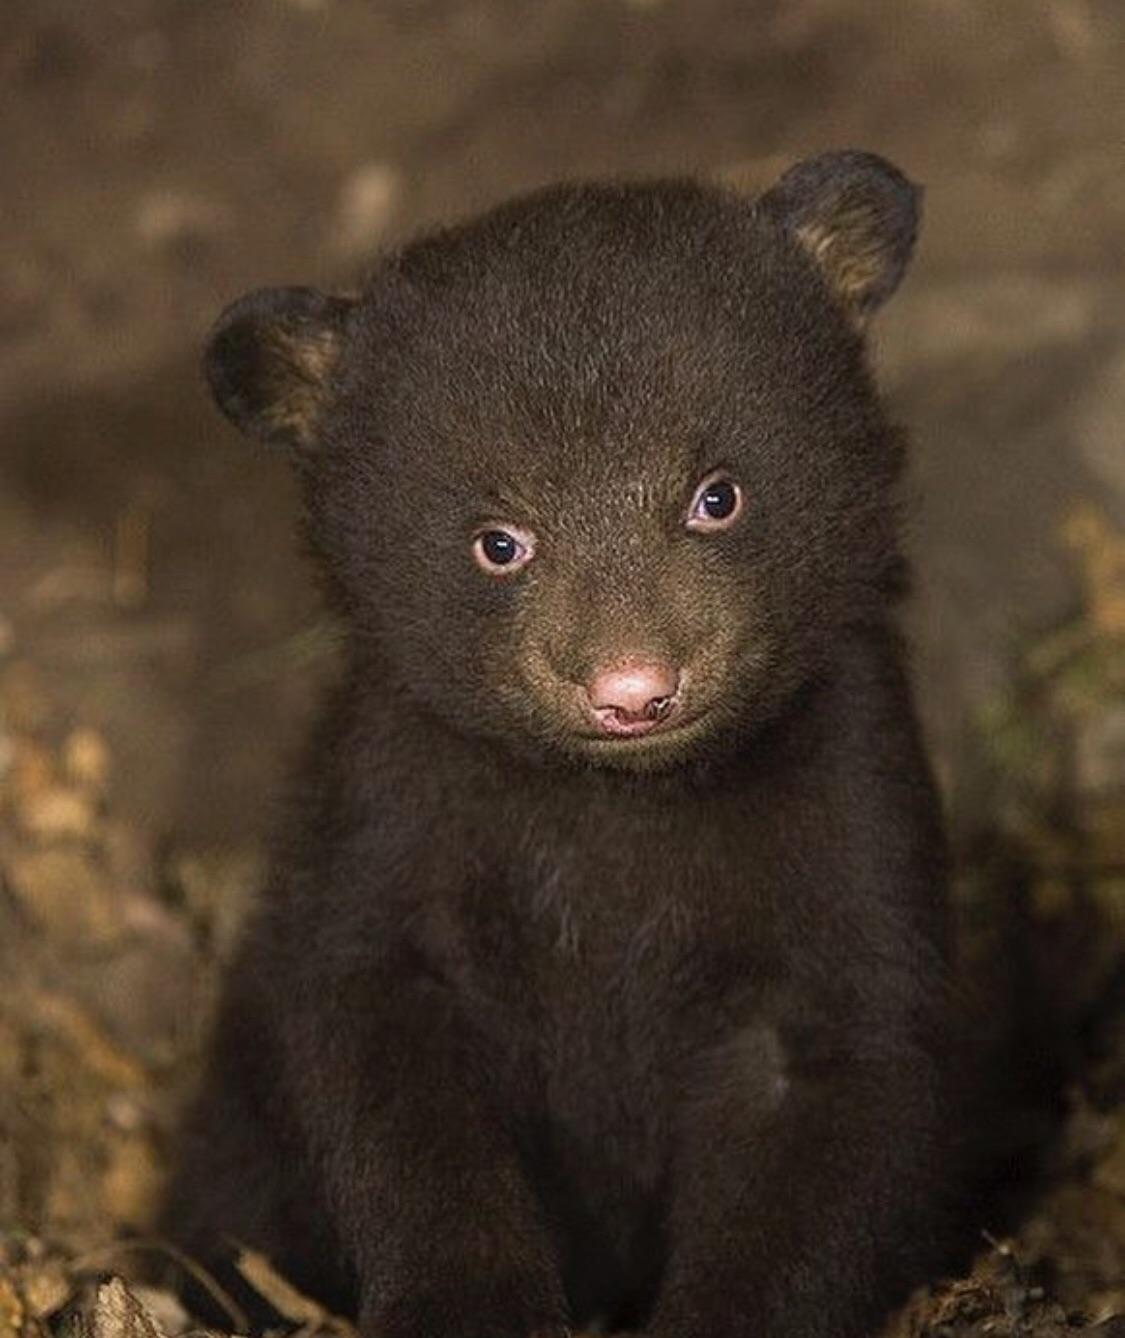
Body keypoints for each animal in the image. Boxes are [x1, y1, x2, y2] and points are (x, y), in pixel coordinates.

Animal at [163, 150, 957, 1338]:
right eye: (499, 542)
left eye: (717, 495)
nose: (632, 689)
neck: (617, 804)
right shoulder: (388, 821)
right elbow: (391, 1080)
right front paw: (465, 1305)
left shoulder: (852, 811)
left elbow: (831, 1100)